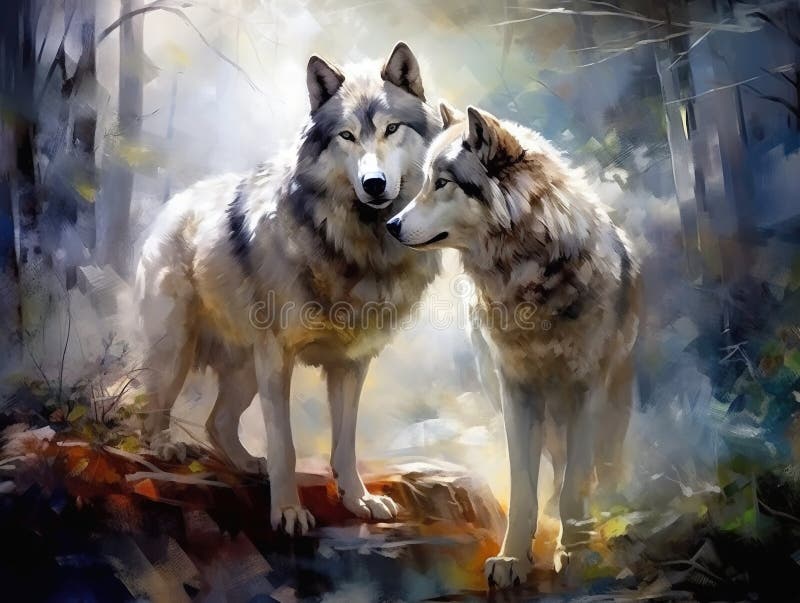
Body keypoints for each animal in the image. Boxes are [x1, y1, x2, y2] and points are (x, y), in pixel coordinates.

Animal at [135, 43, 441, 534]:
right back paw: (165, 447)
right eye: (347, 136)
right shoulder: (278, 358)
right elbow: (285, 446)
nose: (374, 184)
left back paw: (244, 463)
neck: (353, 247)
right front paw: (288, 511)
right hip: (178, 353)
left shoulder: (351, 365)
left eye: (391, 129)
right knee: (154, 408)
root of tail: (174, 204)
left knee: (218, 423)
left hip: (244, 369)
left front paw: (358, 500)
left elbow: (345, 443)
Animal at [387, 104, 639, 587]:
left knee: (604, 463)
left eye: (441, 183)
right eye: (424, 180)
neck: (531, 276)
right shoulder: (516, 392)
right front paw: (512, 558)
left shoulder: (586, 391)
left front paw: (577, 552)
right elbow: (524, 489)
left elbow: (578, 479)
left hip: (614, 401)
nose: (390, 225)